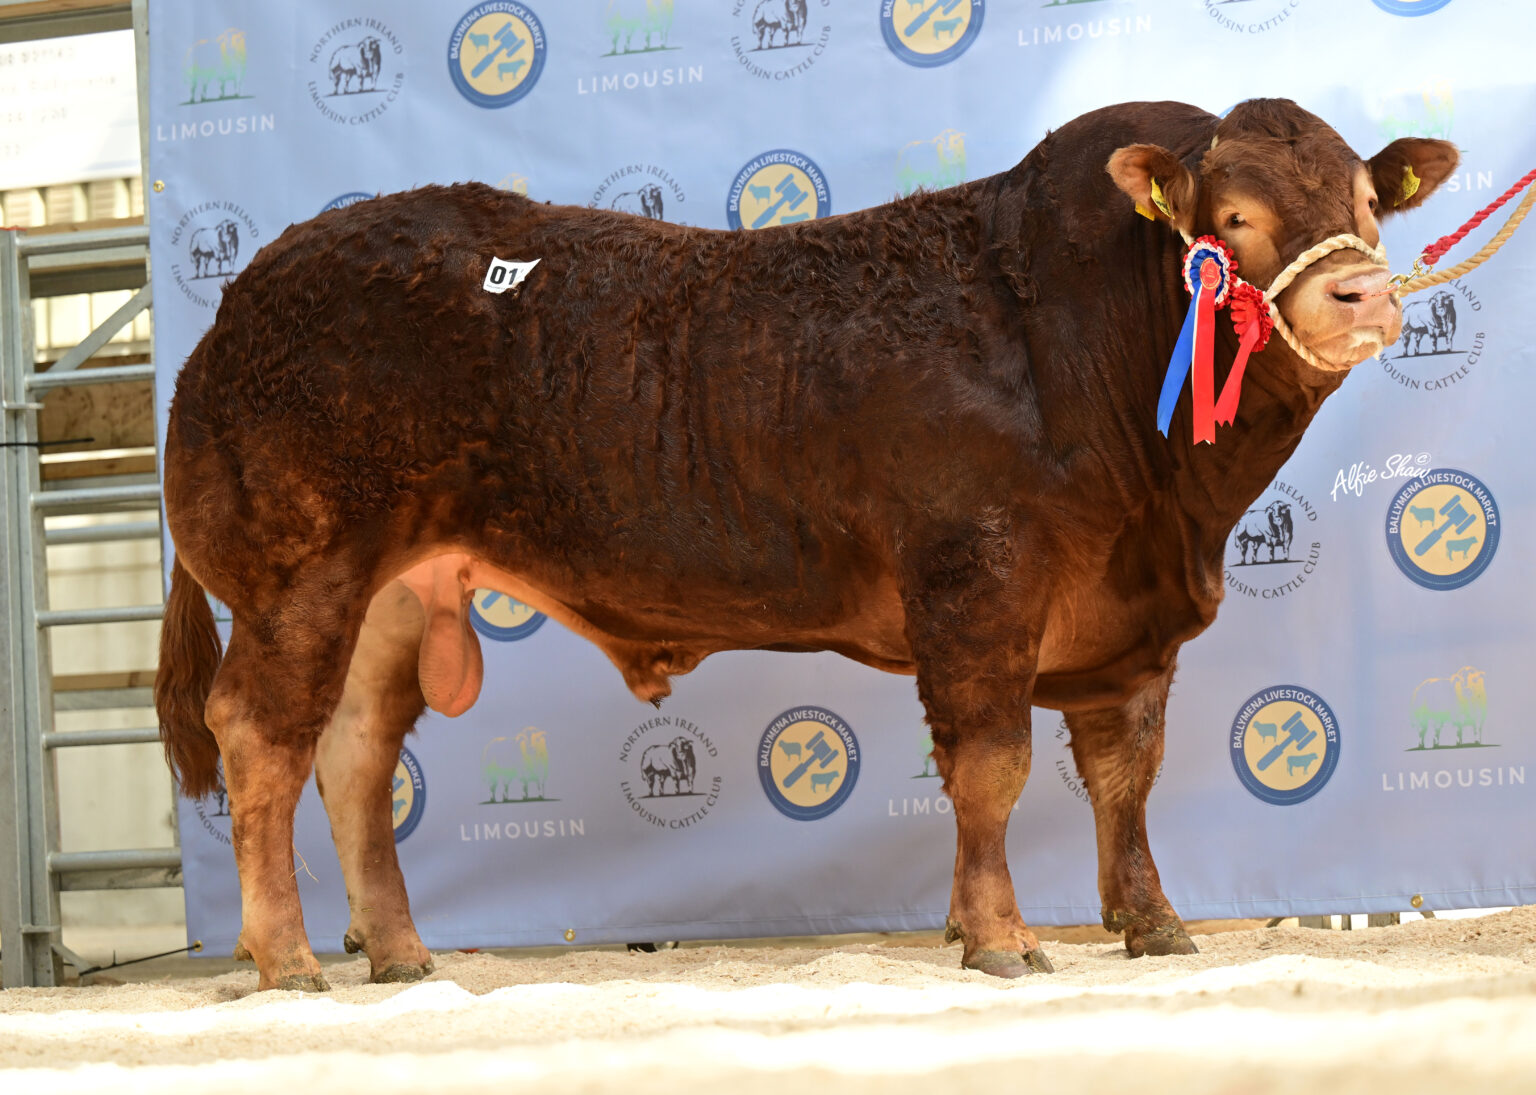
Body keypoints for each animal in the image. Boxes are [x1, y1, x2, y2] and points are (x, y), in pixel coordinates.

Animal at [155, 99, 1456, 990]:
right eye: (1232, 218)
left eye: (1369, 205)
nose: (1365, 296)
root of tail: (253, 288)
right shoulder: (977, 583)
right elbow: (992, 768)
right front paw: (1000, 938)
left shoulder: (1130, 630)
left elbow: (1122, 780)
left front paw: (1154, 926)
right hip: (299, 576)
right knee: (259, 738)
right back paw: (287, 961)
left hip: (390, 594)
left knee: (353, 756)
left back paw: (400, 955)